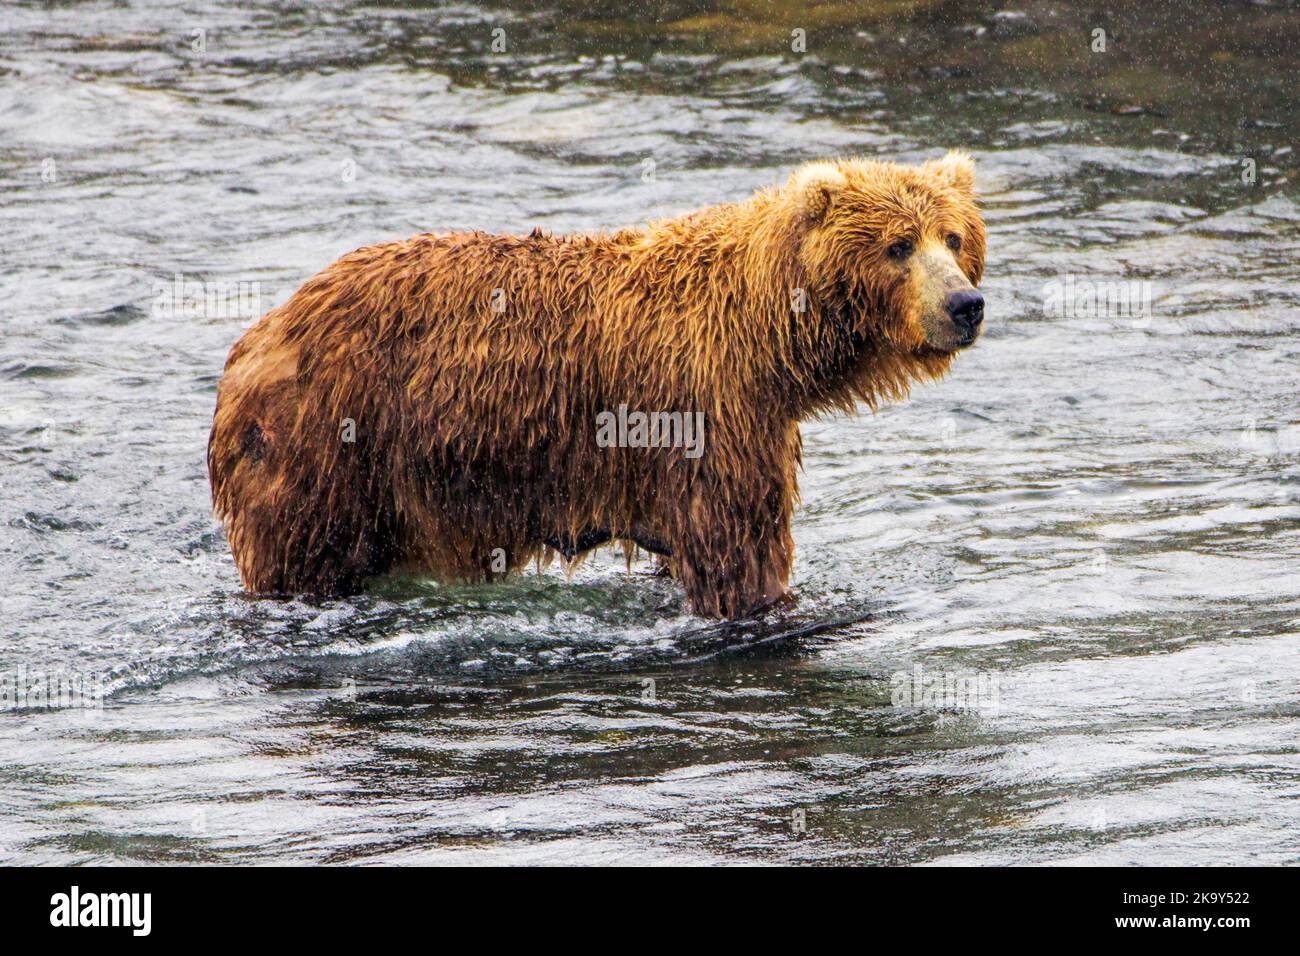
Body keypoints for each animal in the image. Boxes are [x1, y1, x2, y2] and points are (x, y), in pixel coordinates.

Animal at [208, 151, 986, 619]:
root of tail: (257, 336)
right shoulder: (708, 416)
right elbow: (737, 551)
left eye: (953, 237)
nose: (964, 305)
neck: (767, 335)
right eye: (898, 246)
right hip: (328, 444)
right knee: (304, 557)